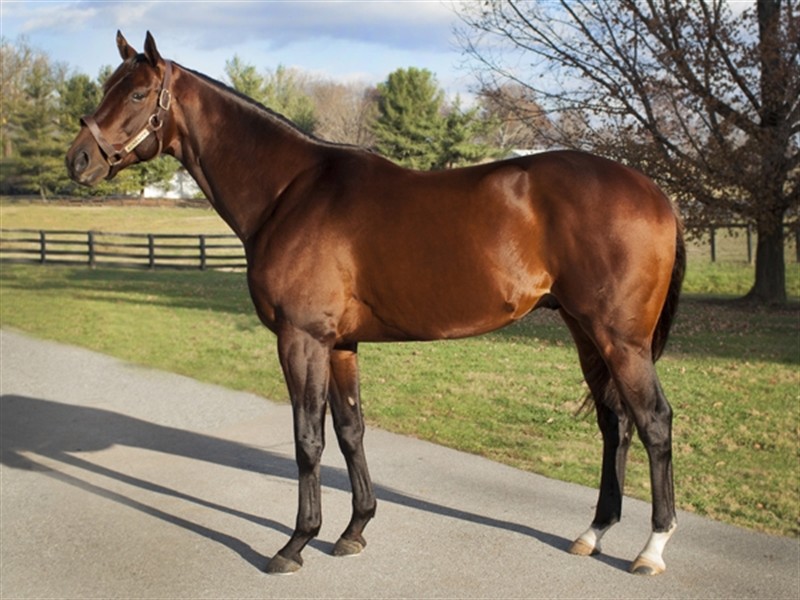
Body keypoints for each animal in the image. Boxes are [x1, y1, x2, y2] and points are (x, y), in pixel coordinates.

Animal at [66, 32, 685, 576]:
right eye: (107, 87)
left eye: (138, 94)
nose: (79, 160)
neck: (289, 192)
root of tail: (655, 193)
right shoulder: (340, 343)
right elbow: (350, 430)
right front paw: (354, 530)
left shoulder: (301, 339)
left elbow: (308, 440)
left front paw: (295, 544)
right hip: (585, 332)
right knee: (615, 425)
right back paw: (594, 532)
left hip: (620, 338)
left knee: (654, 422)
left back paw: (652, 549)